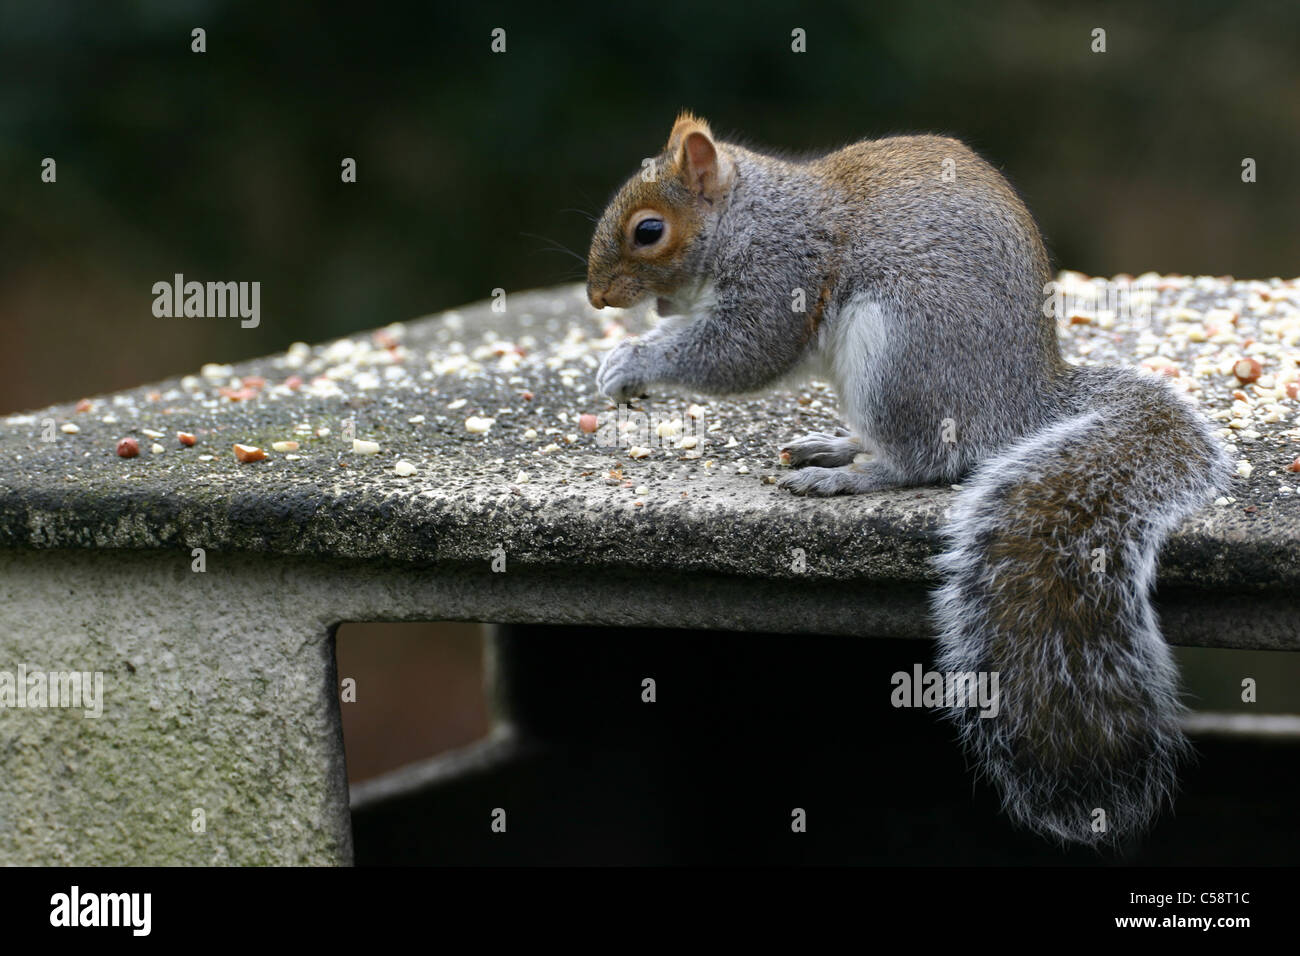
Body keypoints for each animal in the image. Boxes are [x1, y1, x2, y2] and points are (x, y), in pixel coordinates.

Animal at [585, 111, 1233, 846]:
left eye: (649, 231)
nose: (597, 296)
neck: (749, 216)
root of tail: (1025, 402)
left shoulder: (780, 274)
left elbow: (741, 352)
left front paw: (631, 362)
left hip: (898, 352)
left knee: (920, 461)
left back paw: (850, 478)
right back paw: (837, 446)